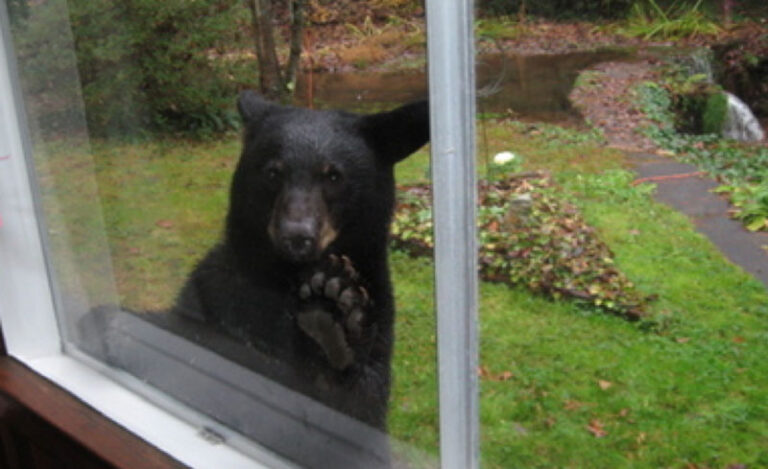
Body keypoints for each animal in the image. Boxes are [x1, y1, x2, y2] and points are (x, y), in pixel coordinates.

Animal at [171, 91, 430, 432]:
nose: (296, 236)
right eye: (273, 172)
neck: (291, 275)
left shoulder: (379, 331)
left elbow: (359, 399)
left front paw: (335, 305)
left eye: (333, 175)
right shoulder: (220, 297)